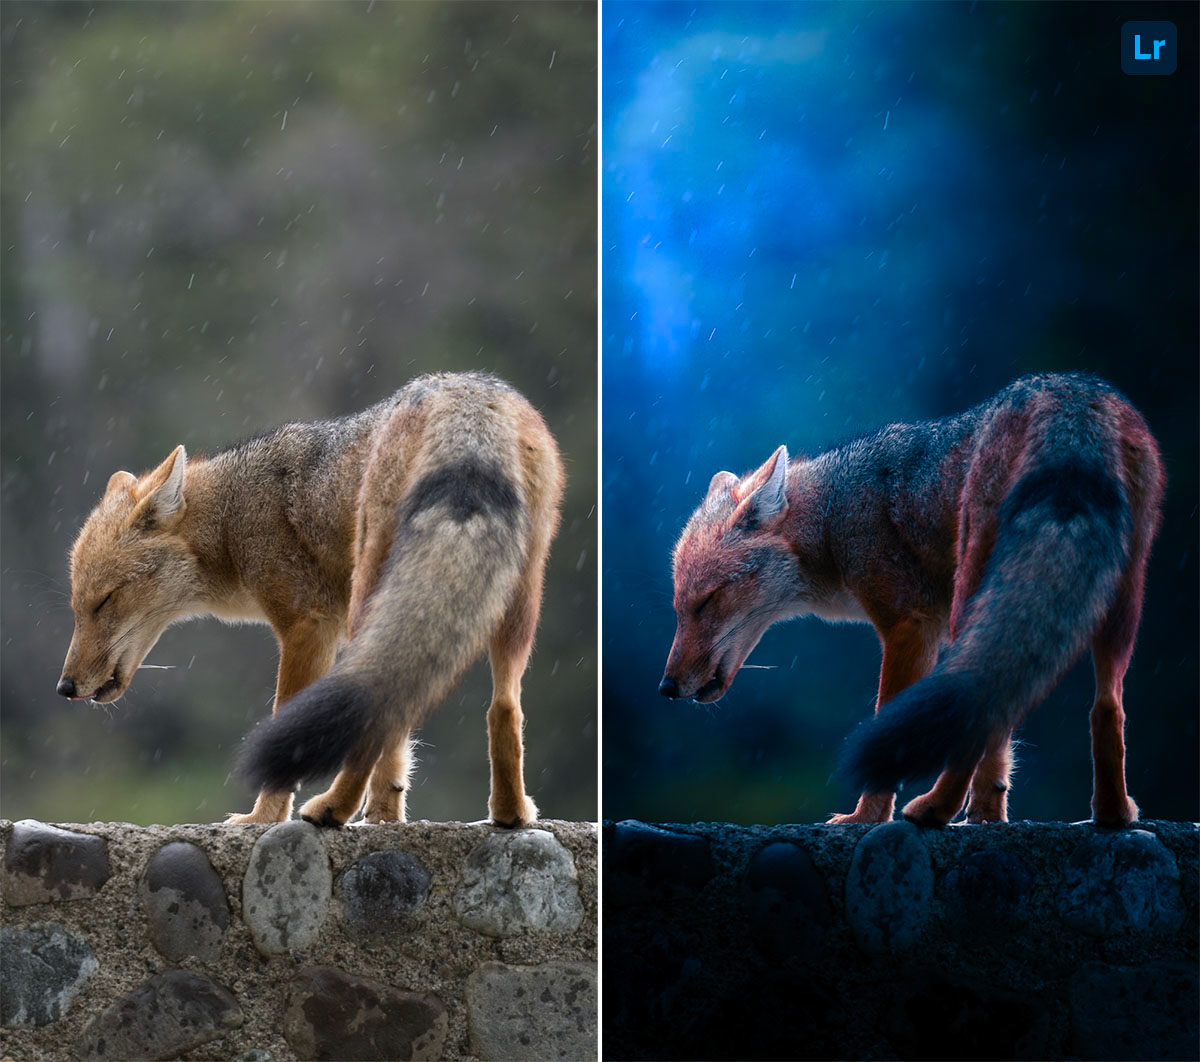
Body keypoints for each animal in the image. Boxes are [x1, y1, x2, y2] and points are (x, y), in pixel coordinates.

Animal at [57, 371, 564, 828]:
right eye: (77, 608)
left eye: (104, 601)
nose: (64, 688)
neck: (231, 521)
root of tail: (466, 395)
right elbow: (397, 743)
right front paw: (385, 816)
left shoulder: (307, 627)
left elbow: (289, 724)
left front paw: (263, 818)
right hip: (511, 603)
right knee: (501, 708)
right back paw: (510, 814)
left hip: (371, 600)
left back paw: (332, 809)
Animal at [660, 373, 1164, 828]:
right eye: (679, 608)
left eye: (706, 601)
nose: (666, 687)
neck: (832, 518)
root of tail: (1070, 397)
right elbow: (999, 741)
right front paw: (987, 816)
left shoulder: (911, 627)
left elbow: (890, 725)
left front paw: (867, 817)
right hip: (1114, 603)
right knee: (1102, 708)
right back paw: (1113, 815)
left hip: (973, 600)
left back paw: (934, 810)